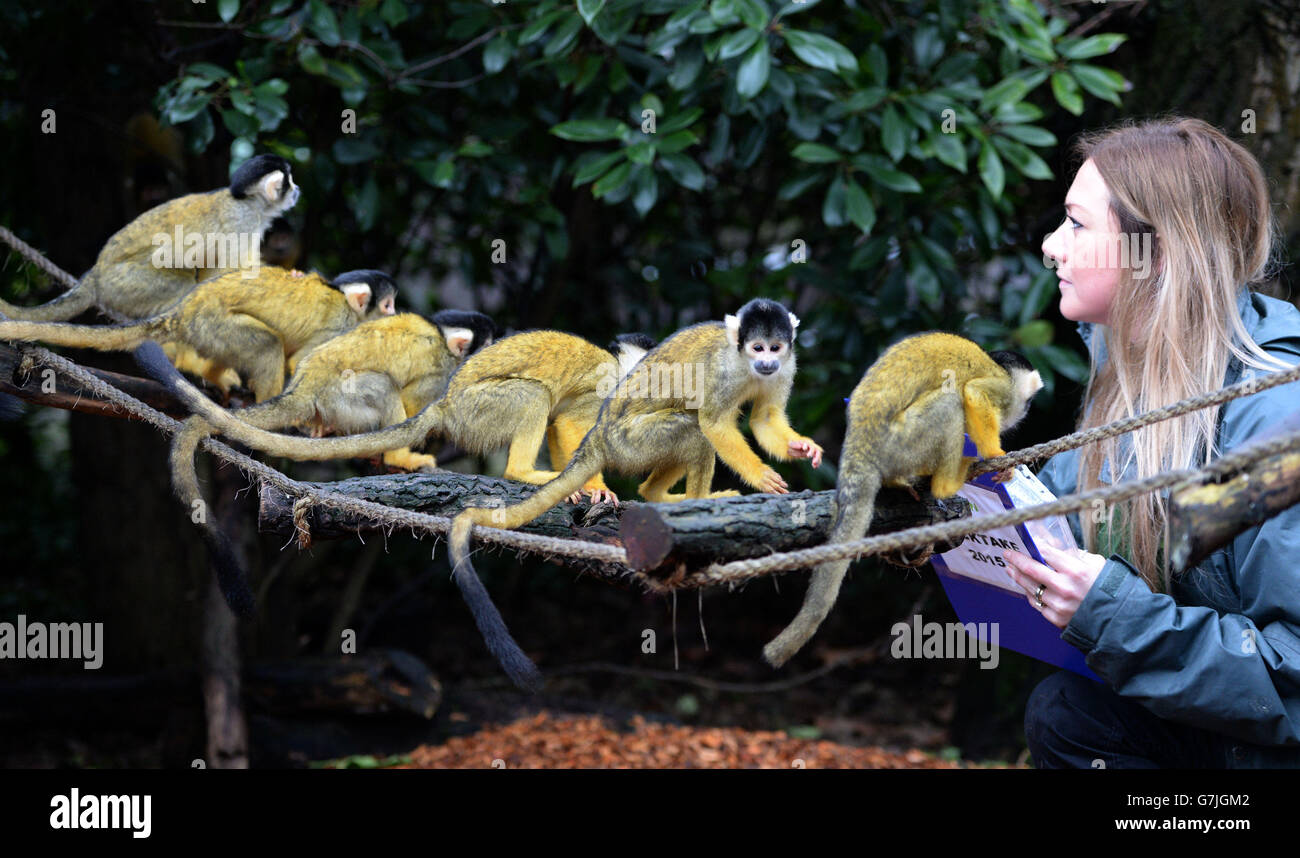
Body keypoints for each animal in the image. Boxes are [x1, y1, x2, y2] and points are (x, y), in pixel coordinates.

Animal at [0, 154, 299, 322]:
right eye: (290, 181)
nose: (297, 189)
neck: (250, 202)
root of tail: (97, 271)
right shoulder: (243, 221)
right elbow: (224, 273)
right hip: (124, 283)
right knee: (183, 284)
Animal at [0, 268, 396, 403]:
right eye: (388, 305)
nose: (395, 313)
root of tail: (184, 309)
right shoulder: (340, 325)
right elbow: (302, 360)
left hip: (209, 332)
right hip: (213, 322)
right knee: (268, 344)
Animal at [440, 298, 824, 690]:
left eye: (775, 348)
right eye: (757, 348)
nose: (767, 363)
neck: (747, 365)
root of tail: (601, 436)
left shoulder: (786, 367)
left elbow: (765, 417)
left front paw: (801, 447)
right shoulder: (721, 371)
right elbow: (713, 424)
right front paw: (761, 477)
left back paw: (658, 495)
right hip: (631, 443)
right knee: (693, 429)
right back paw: (696, 503)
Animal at [761, 332, 1044, 668]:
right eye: (1027, 401)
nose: (1025, 412)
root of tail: (860, 446)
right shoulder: (1000, 387)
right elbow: (975, 394)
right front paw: (996, 456)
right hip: (902, 441)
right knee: (951, 399)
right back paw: (948, 481)